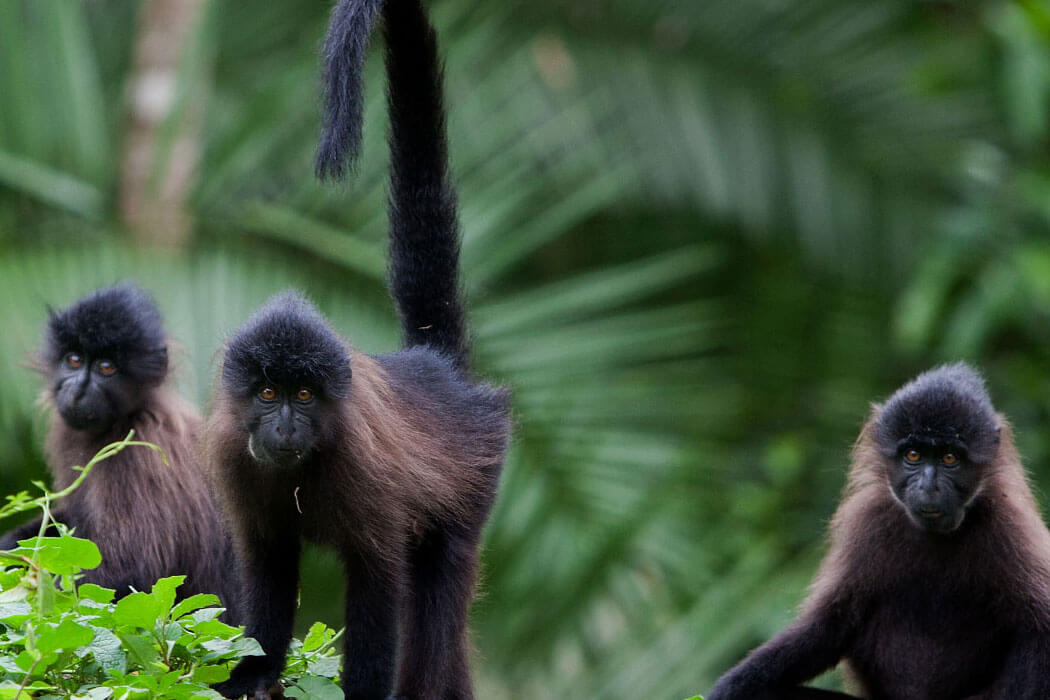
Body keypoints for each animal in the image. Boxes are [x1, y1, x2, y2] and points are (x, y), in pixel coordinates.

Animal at [0, 283, 242, 622]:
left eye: (106, 368)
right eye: (74, 361)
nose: (77, 390)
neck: (122, 420)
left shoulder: (139, 457)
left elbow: (126, 571)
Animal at [207, 1, 511, 698]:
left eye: (304, 395)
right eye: (268, 392)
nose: (285, 424)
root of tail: (435, 369)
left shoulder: (361, 468)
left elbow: (379, 579)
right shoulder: (233, 454)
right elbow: (268, 565)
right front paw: (252, 675)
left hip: (481, 471)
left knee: (437, 600)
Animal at [707, 363, 1050, 700]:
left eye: (949, 458)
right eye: (913, 455)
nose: (928, 486)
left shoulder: (1008, 525)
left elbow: (1040, 629)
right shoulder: (869, 520)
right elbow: (831, 622)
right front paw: (731, 686)